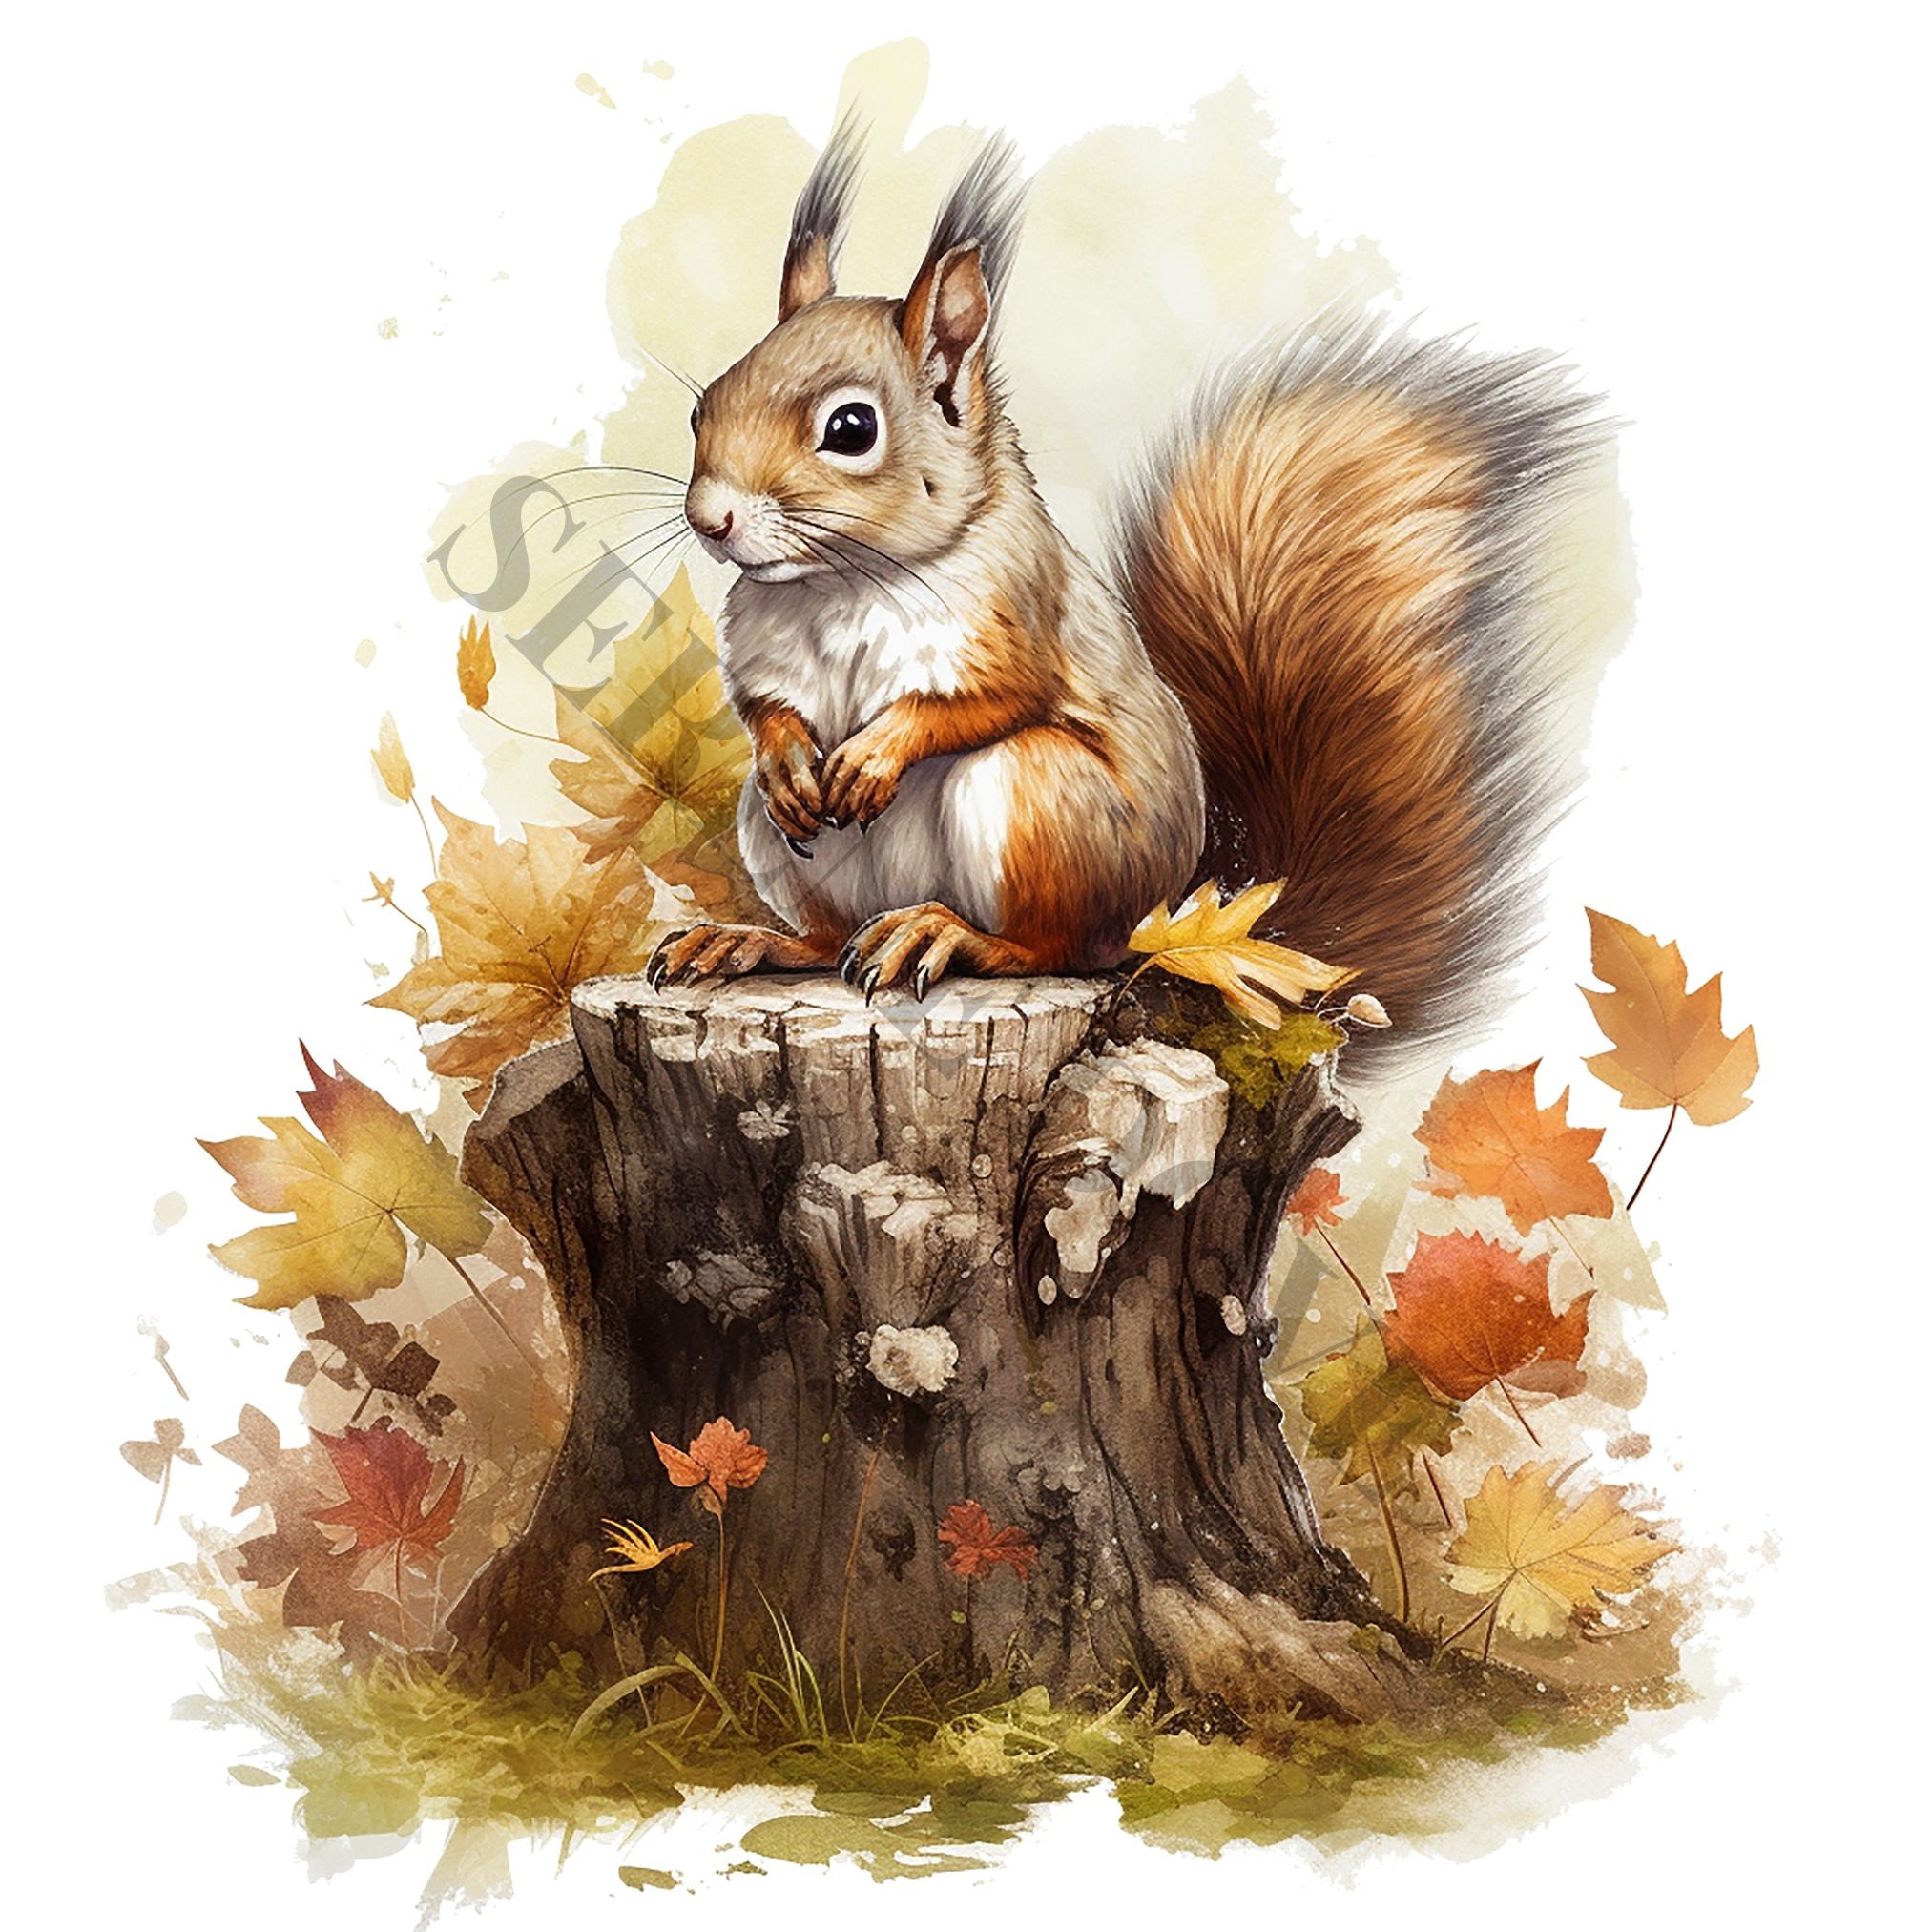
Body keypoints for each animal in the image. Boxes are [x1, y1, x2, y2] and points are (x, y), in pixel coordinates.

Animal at [649, 120, 1604, 1068]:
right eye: (702, 410)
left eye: (850, 428)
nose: (710, 518)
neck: (838, 581)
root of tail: (1150, 923)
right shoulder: (765, 649)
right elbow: (766, 708)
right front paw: (789, 759)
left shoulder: (1015, 613)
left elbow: (989, 698)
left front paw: (876, 753)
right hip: (795, 852)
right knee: (826, 933)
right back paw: (749, 941)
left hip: (1037, 799)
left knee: (1051, 946)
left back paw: (943, 933)